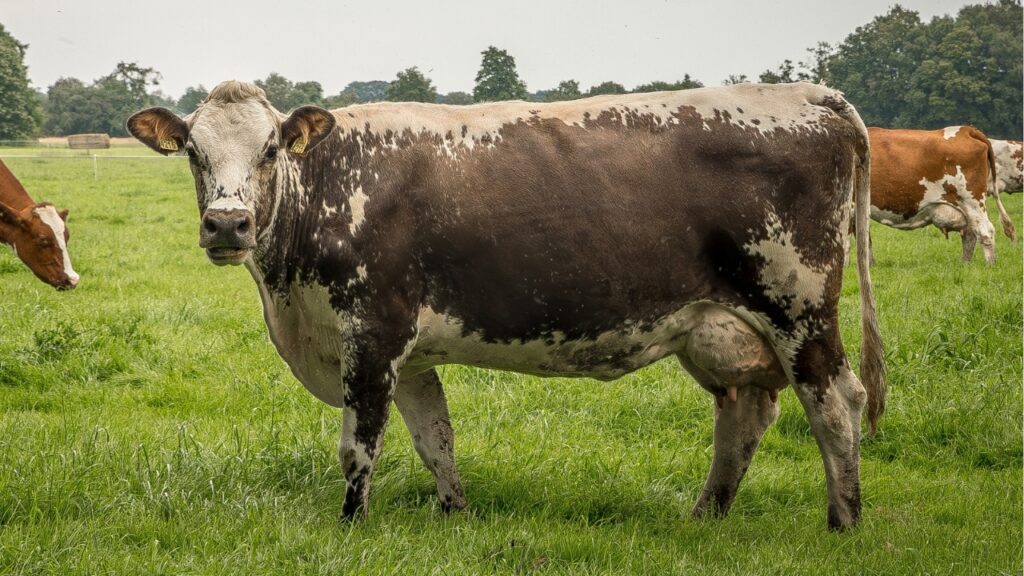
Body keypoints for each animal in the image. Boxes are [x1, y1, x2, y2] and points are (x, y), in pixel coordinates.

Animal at [128, 80, 885, 531]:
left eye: (269, 149)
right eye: (192, 151)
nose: (227, 224)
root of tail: (811, 93)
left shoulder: (371, 335)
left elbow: (358, 446)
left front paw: (350, 525)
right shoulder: (409, 355)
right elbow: (434, 438)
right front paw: (453, 514)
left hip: (799, 308)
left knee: (835, 405)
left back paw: (843, 522)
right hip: (722, 327)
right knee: (747, 412)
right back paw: (706, 515)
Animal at [867, 126, 1016, 264]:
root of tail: (967, 130)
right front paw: (871, 263)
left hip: (973, 201)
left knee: (985, 231)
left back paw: (990, 264)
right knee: (970, 233)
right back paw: (965, 264)